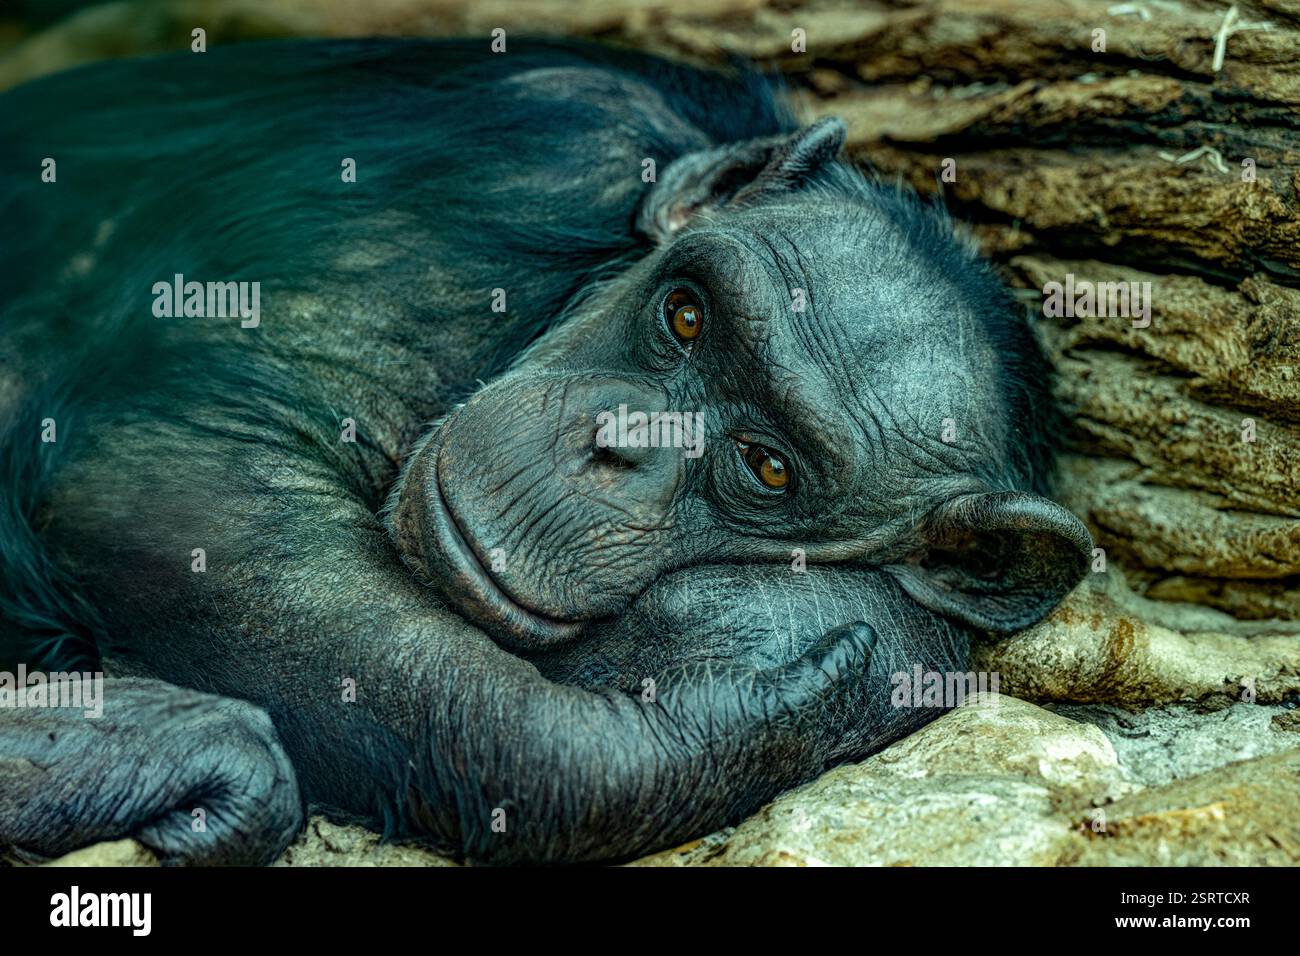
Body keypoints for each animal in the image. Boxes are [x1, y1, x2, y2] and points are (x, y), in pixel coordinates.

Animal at [0, 38, 1091, 865]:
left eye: (769, 468)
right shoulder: (517, 181)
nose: (615, 443)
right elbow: (176, 478)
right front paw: (674, 740)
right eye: (685, 316)